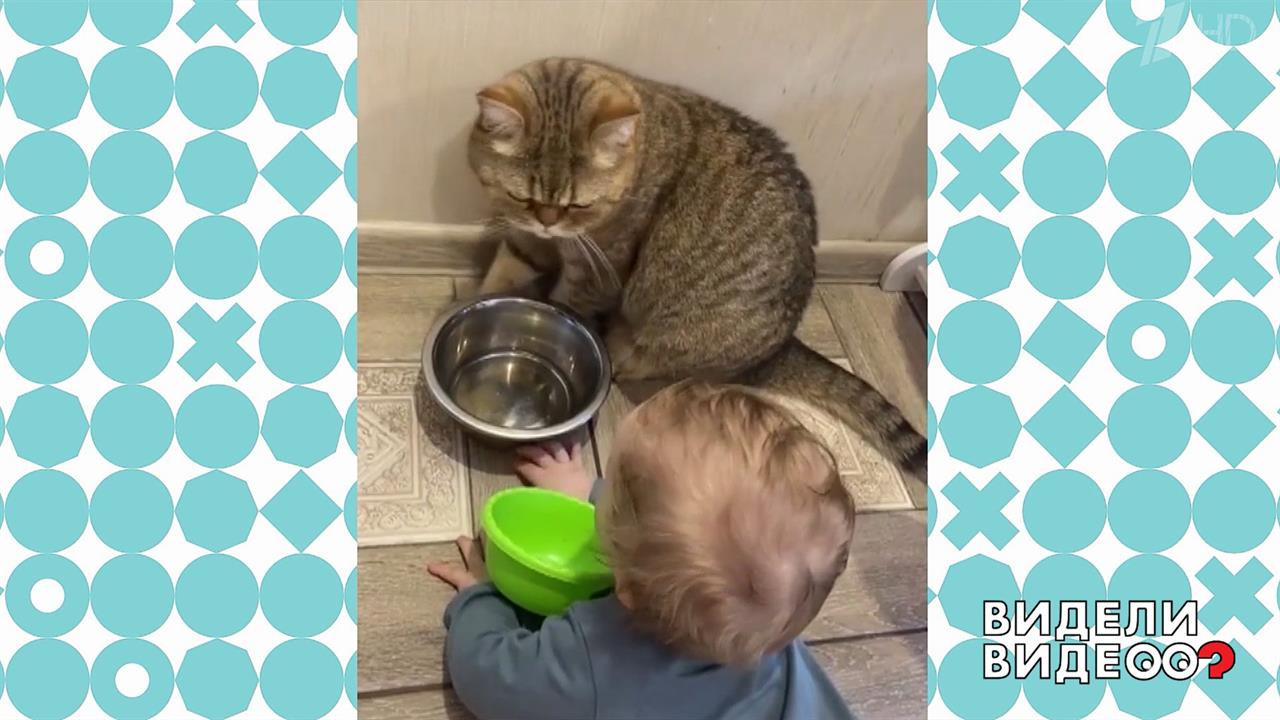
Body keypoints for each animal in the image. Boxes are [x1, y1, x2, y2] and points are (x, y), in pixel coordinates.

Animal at [466, 58, 925, 479]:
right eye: (522, 197)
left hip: (677, 338)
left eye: (580, 205)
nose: (548, 221)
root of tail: (781, 347)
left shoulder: (596, 268)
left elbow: (565, 305)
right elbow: (505, 272)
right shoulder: (525, 238)